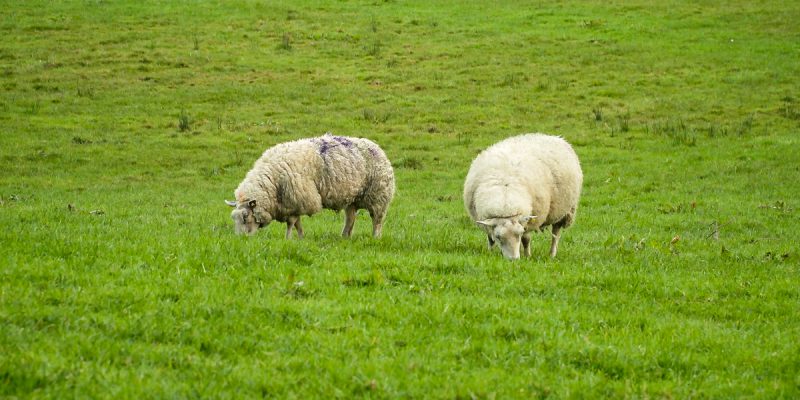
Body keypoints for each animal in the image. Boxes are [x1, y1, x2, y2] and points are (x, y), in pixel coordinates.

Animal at [225, 133, 395, 239]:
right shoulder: (292, 204)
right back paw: (344, 236)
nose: (241, 239)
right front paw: (301, 237)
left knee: (377, 220)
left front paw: (288, 238)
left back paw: (375, 237)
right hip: (352, 198)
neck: (271, 182)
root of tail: (376, 146)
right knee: (350, 218)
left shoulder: (298, 200)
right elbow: (297, 224)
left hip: (378, 195)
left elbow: (291, 223)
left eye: (245, 217)